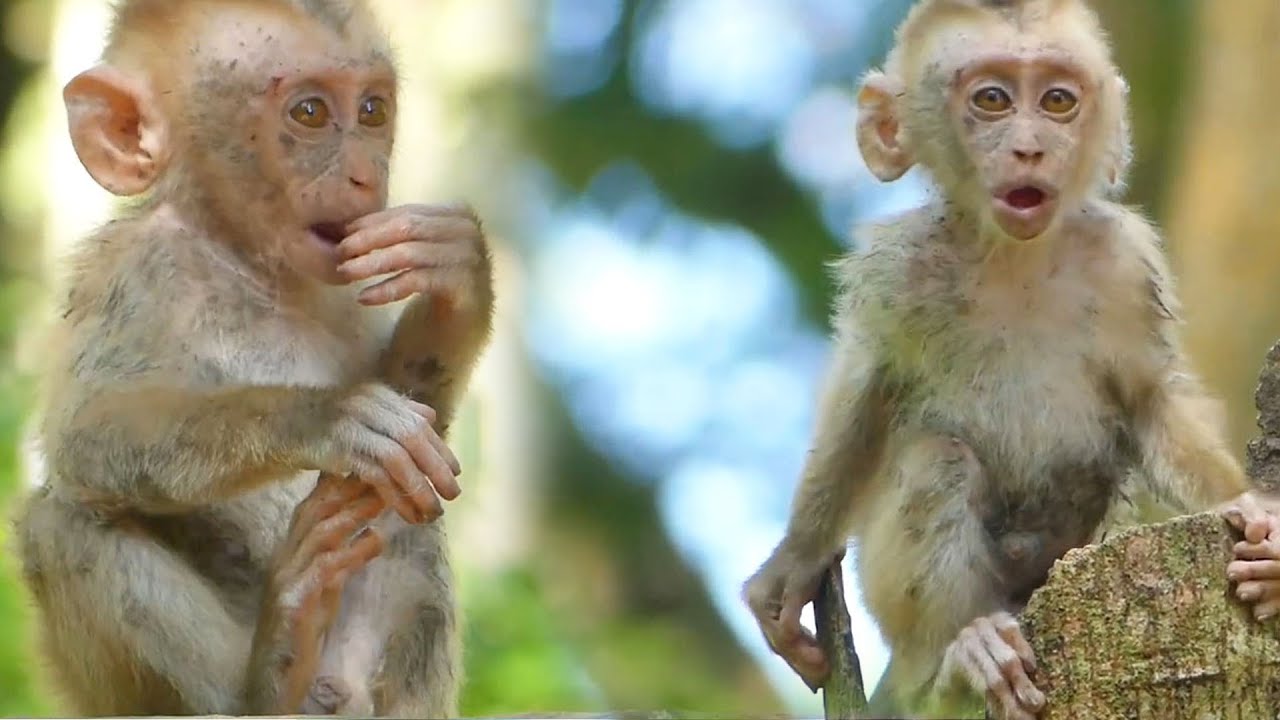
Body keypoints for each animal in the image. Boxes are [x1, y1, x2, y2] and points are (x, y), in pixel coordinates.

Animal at [13, 0, 494, 716]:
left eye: (373, 110)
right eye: (310, 113)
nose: (367, 174)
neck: (250, 266)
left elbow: (419, 425)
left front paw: (457, 278)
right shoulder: (140, 269)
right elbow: (88, 431)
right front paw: (327, 417)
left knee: (400, 519)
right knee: (65, 522)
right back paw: (273, 673)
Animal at [742, 1, 1280, 718]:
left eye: (1057, 101)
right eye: (993, 100)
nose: (1030, 148)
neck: (1014, 260)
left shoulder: (1123, 265)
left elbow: (1149, 401)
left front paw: (1260, 525)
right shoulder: (897, 274)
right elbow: (867, 399)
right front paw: (793, 566)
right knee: (937, 461)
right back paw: (963, 661)